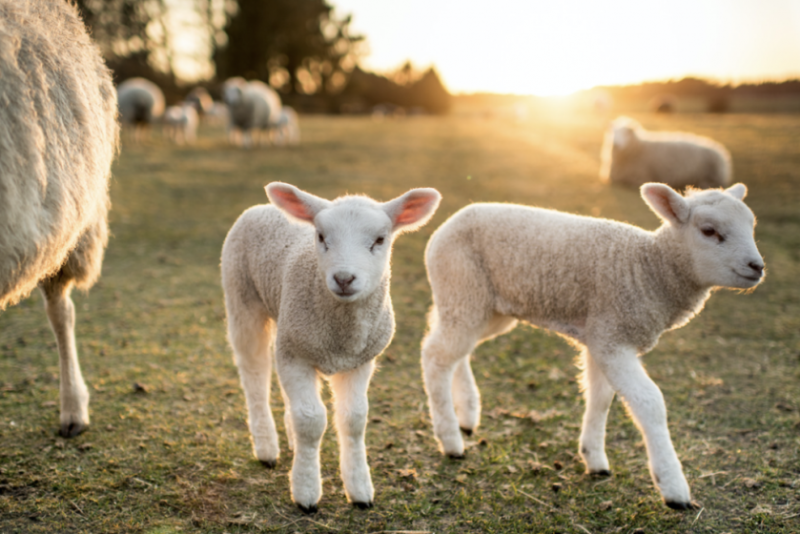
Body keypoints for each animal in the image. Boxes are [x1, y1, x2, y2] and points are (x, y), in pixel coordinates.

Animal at [221, 183, 441, 512]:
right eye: (322, 237)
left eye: (380, 239)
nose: (344, 278)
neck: (341, 337)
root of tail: (263, 206)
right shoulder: (297, 354)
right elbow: (311, 421)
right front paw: (306, 491)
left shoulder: (359, 360)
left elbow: (353, 419)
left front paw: (360, 490)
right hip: (242, 300)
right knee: (254, 375)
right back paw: (266, 447)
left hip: (286, 326)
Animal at [421, 183, 764, 510]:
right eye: (709, 231)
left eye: (751, 225)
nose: (757, 266)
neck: (649, 268)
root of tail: (451, 221)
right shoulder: (612, 338)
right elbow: (650, 403)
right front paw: (673, 488)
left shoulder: (601, 337)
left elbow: (600, 398)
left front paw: (594, 459)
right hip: (462, 287)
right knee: (436, 355)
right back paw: (450, 440)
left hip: (486, 308)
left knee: (457, 350)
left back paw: (467, 415)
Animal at [600, 117, 732, 189]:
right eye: (613, 132)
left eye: (625, 133)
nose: (615, 143)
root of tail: (721, 152)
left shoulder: (641, 177)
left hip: (712, 175)